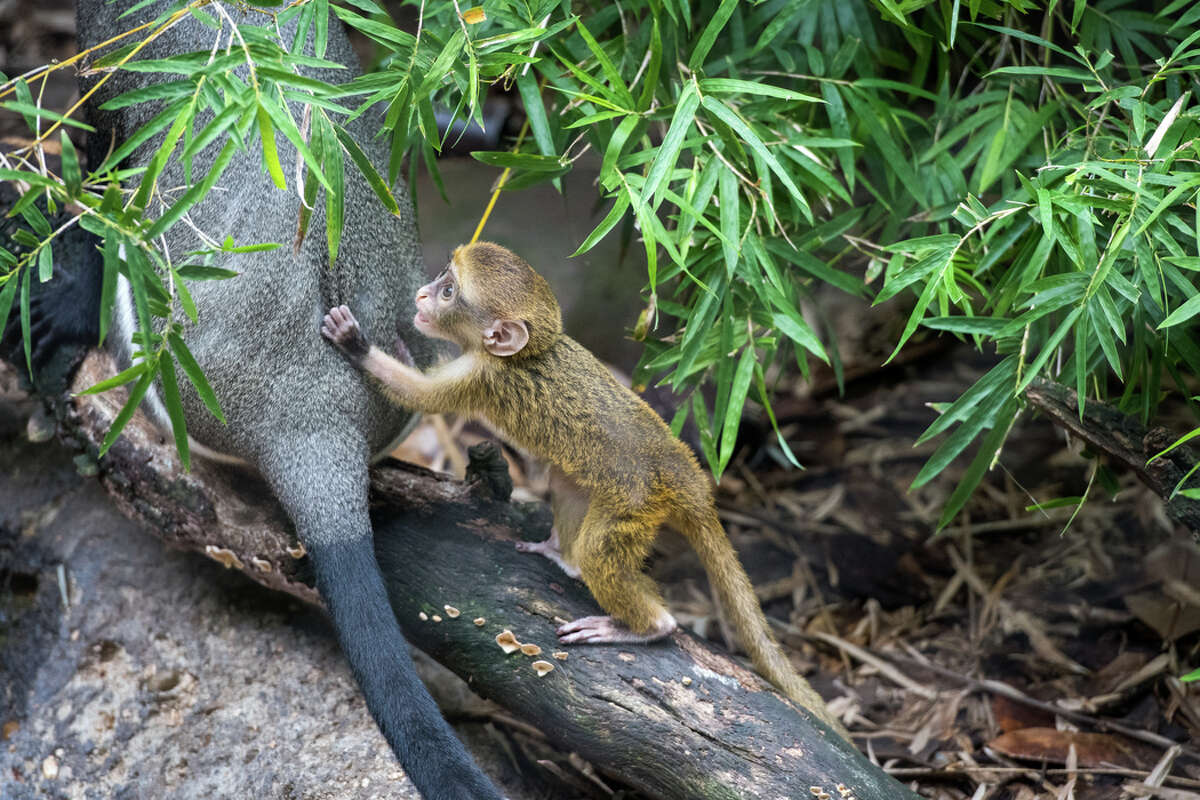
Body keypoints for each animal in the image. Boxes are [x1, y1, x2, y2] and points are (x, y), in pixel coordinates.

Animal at [321, 242, 850, 739]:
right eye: (440, 279)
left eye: (449, 290)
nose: (422, 295)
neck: (525, 353)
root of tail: (683, 473)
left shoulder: (482, 378)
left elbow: (421, 396)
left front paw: (359, 344)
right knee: (566, 486)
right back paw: (561, 553)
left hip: (635, 507)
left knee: (603, 556)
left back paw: (647, 626)